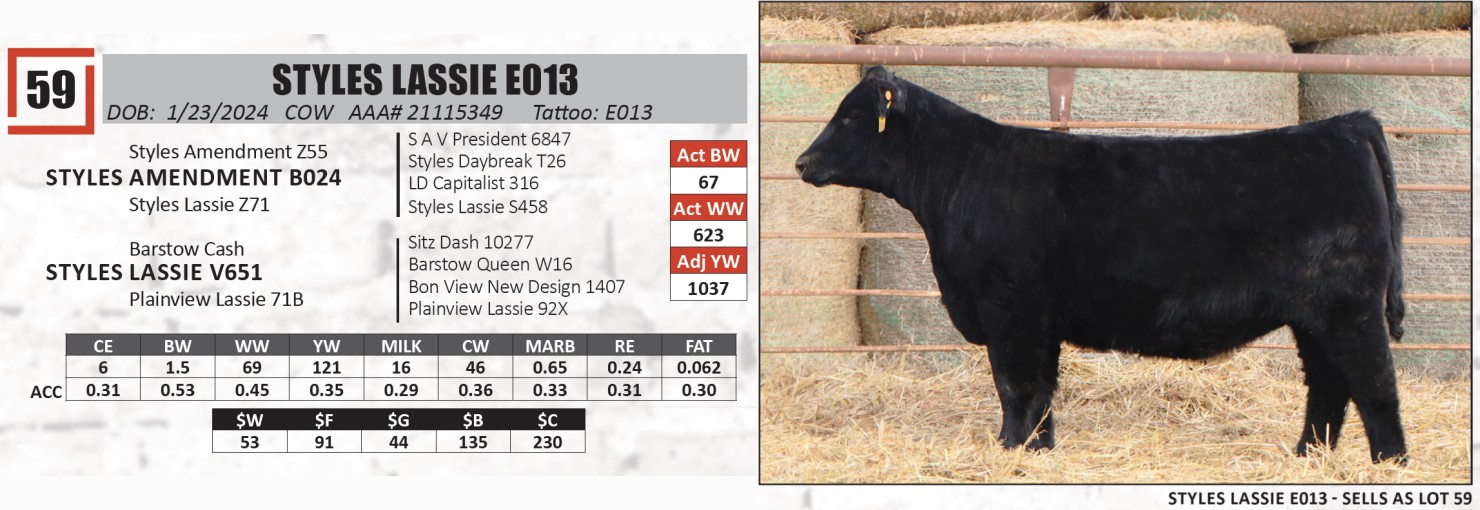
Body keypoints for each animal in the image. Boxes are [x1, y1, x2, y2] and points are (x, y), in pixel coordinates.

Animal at [795, 66, 1407, 463]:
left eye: (848, 119)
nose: (801, 162)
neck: (961, 177)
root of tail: (1344, 125)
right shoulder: (1037, 320)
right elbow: (1040, 389)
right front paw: (1036, 451)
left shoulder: (1008, 308)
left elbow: (1014, 385)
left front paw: (1009, 449)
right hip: (1315, 316)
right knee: (1328, 384)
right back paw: (1308, 458)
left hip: (1349, 308)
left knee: (1374, 382)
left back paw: (1390, 464)